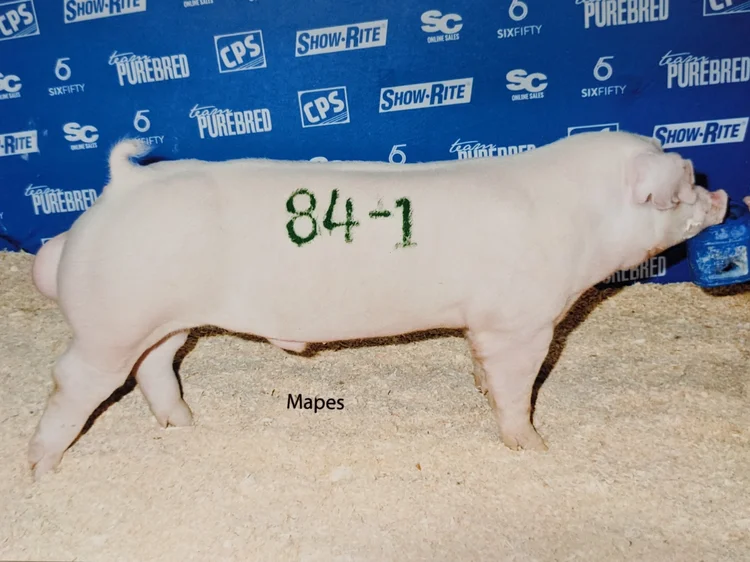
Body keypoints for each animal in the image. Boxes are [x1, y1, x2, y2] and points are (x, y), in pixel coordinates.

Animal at [28, 130, 728, 479]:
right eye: (681, 189)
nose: (724, 197)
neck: (577, 220)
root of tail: (123, 186)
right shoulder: (520, 321)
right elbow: (517, 386)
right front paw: (532, 446)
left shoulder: (485, 326)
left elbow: (483, 370)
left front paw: (482, 393)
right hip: (111, 321)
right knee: (72, 380)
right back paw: (42, 469)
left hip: (160, 321)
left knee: (154, 366)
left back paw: (185, 425)